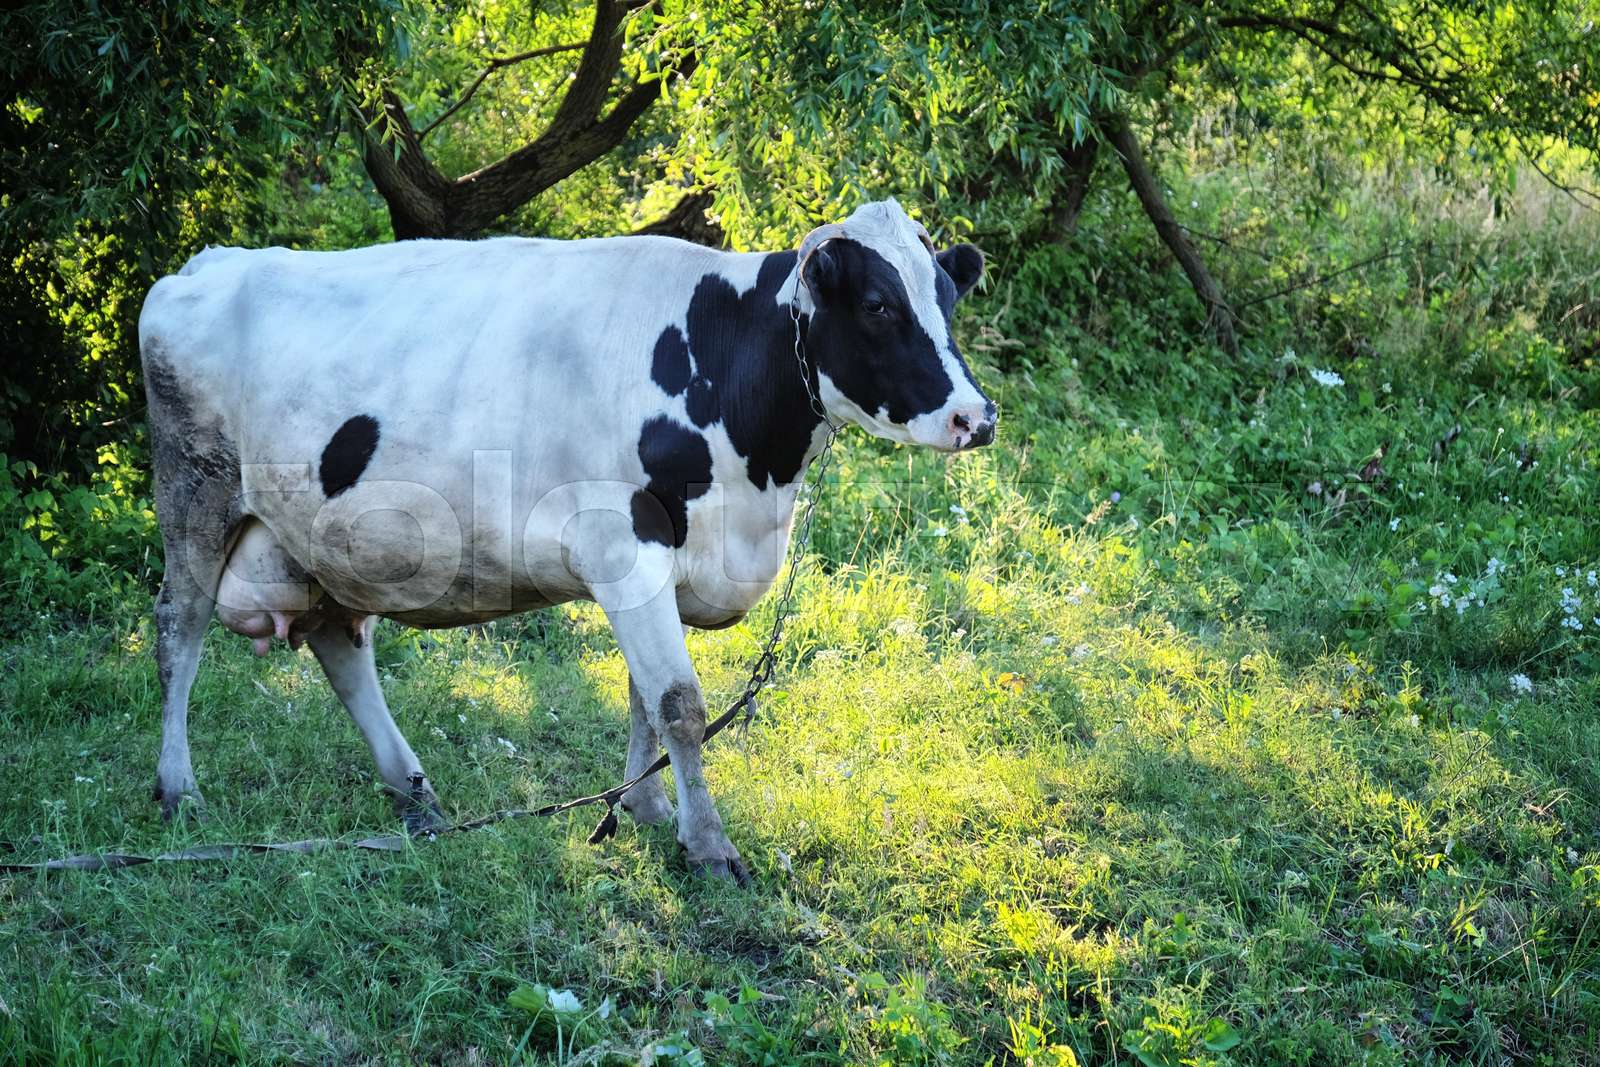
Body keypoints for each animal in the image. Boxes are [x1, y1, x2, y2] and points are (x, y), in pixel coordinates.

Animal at [138, 198, 996, 882]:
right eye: (879, 305)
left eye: (949, 298)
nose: (976, 416)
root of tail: (206, 263)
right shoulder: (626, 542)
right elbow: (680, 701)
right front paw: (709, 844)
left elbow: (644, 696)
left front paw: (647, 807)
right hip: (196, 488)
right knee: (179, 630)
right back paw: (178, 787)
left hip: (320, 541)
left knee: (341, 647)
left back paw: (413, 790)